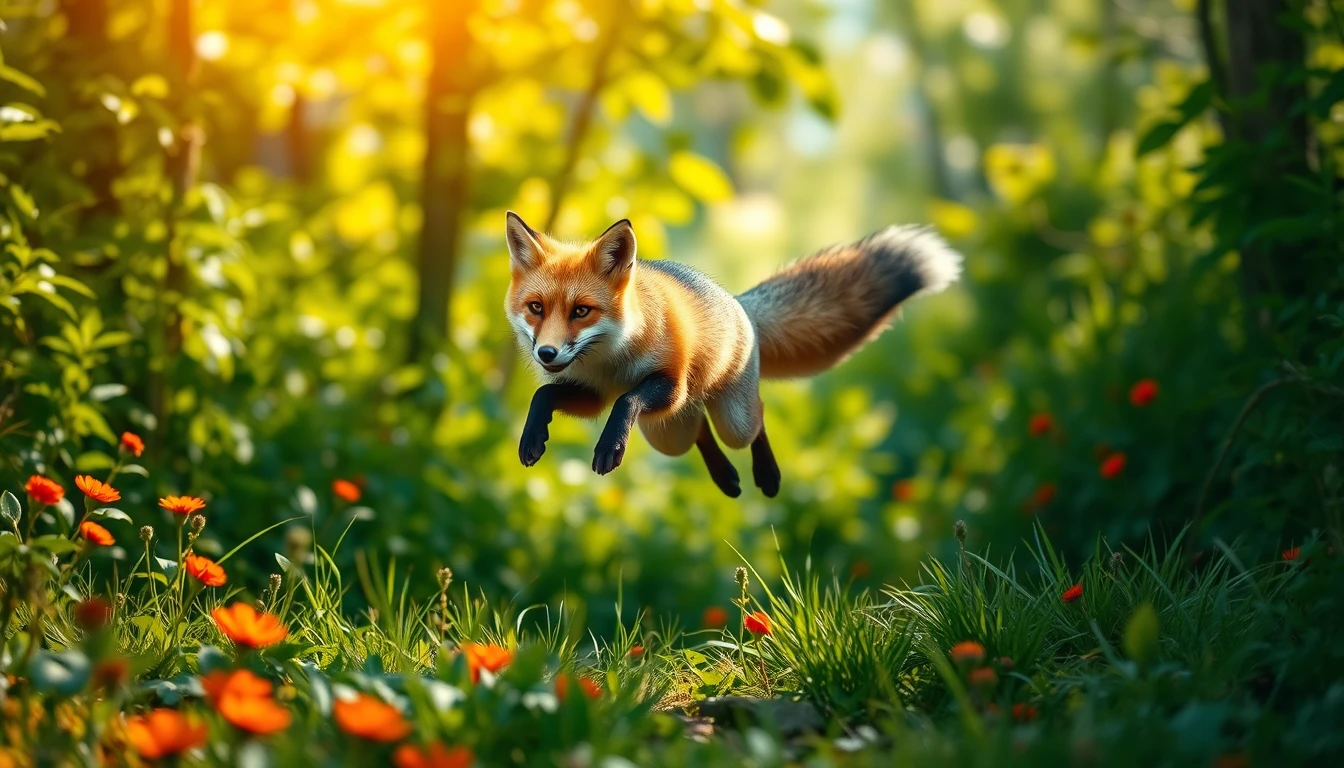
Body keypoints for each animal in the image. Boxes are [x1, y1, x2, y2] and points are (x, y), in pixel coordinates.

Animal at [504, 211, 962, 498]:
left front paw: (609, 445)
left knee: (754, 418)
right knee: (699, 431)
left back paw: (767, 475)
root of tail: (740, 304)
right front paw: (532, 438)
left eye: (581, 311)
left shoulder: (668, 383)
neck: (610, 362)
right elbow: (543, 395)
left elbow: (627, 400)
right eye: (536, 308)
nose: (546, 353)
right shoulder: (592, 394)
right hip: (667, 436)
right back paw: (725, 477)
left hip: (730, 419)